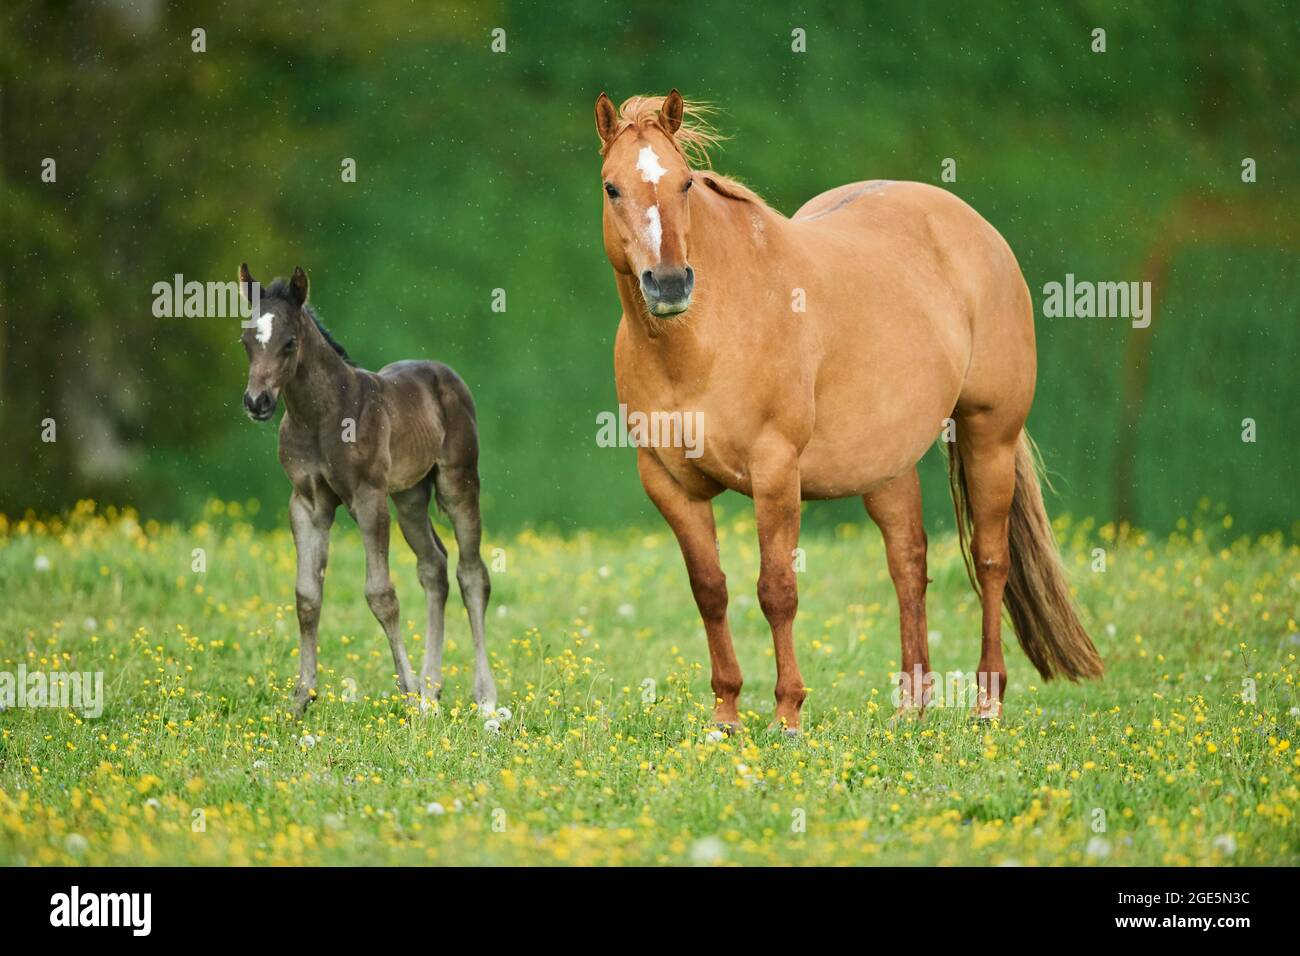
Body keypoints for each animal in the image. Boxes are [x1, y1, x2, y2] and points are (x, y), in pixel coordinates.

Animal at [237, 264, 496, 717]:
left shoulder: (368, 497)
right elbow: (307, 596)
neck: (319, 417)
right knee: (434, 567)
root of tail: (444, 373)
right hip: (409, 497)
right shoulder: (307, 503)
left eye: (290, 342)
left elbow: (381, 594)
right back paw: (431, 691)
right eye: (246, 340)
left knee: (471, 574)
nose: (258, 402)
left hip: (457, 481)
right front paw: (301, 698)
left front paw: (406, 691)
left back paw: (482, 697)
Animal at [593, 91, 1103, 732]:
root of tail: (974, 229)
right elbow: (710, 590)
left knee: (990, 561)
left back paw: (987, 701)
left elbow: (777, 591)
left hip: (990, 434)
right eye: (612, 187)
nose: (668, 284)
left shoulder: (775, 470)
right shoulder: (668, 482)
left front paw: (787, 712)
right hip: (886, 464)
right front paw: (726, 712)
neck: (704, 337)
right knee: (908, 562)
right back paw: (912, 706)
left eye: (684, 183)